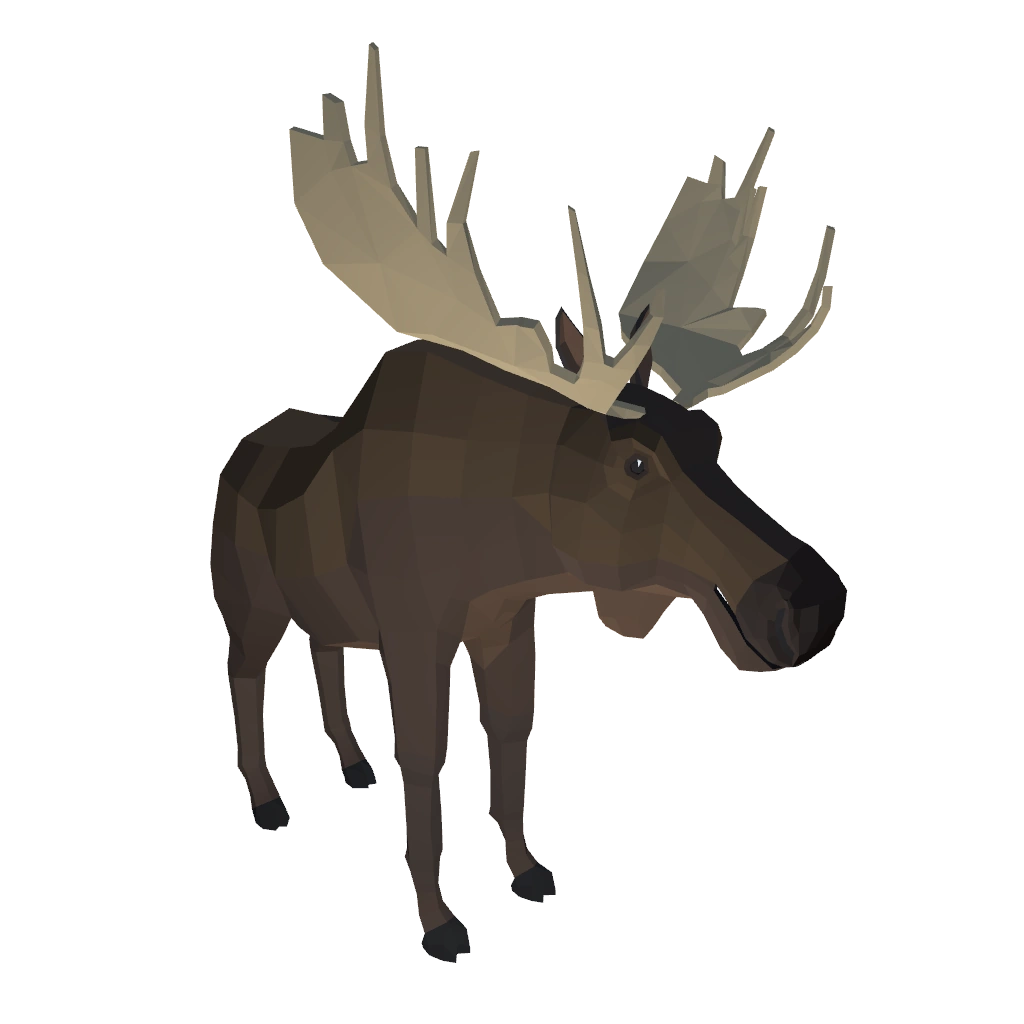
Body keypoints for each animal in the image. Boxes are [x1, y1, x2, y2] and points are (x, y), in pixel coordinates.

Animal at [210, 42, 845, 962]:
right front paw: (439, 921)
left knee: (323, 652)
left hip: (323, 607)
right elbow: (426, 761)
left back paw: (351, 761)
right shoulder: (416, 627)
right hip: (247, 604)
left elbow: (511, 737)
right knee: (246, 675)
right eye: (635, 462)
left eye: (715, 436)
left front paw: (527, 870)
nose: (809, 600)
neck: (509, 544)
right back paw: (266, 799)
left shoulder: (507, 621)